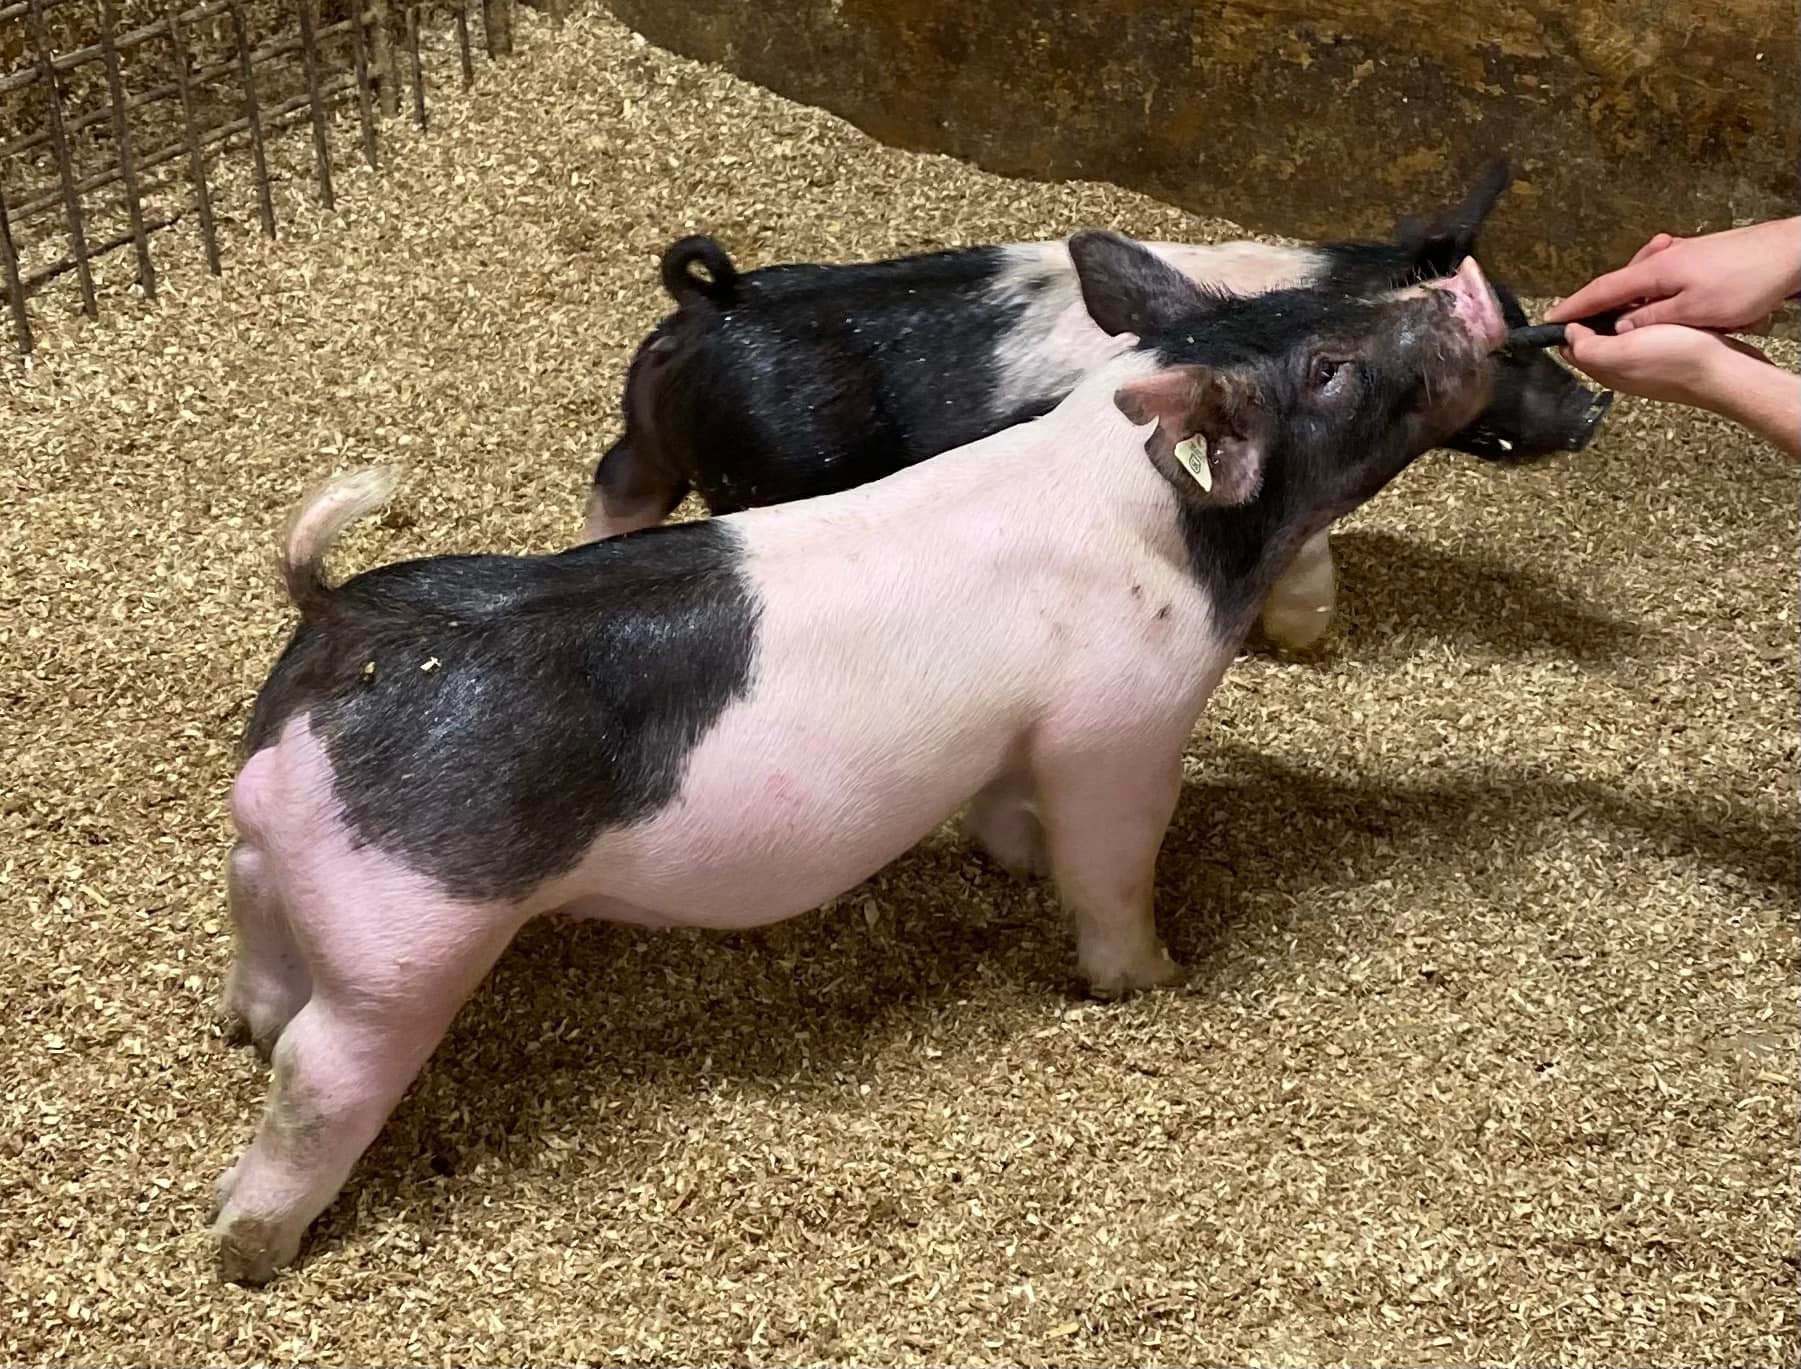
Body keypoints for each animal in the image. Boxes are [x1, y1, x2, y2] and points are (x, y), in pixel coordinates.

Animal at [213, 232, 1507, 1282]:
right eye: (1328, 367)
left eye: (1302, 316)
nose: (1458, 295)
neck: (1153, 522)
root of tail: (341, 623)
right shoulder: (1118, 726)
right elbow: (1111, 864)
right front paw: (1150, 978)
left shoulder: (1017, 734)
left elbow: (1005, 811)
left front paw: (1012, 864)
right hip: (410, 931)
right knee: (320, 1068)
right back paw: (246, 1246)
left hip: (280, 853)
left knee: (255, 935)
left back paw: (242, 1034)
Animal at [583, 161, 1610, 650]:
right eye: (1502, 336)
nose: (1593, 412)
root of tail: (712, 304)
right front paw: (1304, 637)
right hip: (766, 470)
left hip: (646, 439)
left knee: (614, 491)